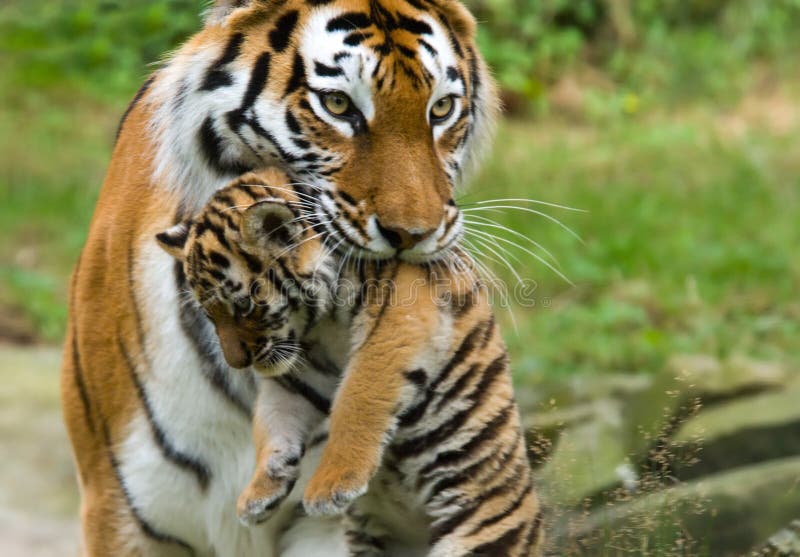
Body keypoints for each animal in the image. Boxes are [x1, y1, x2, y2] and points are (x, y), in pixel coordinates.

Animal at [155, 168, 543, 556]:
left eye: (244, 306)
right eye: (210, 313)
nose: (238, 363)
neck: (322, 324)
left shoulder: (396, 322)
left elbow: (358, 398)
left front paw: (330, 487)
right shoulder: (299, 373)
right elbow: (272, 419)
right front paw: (260, 491)